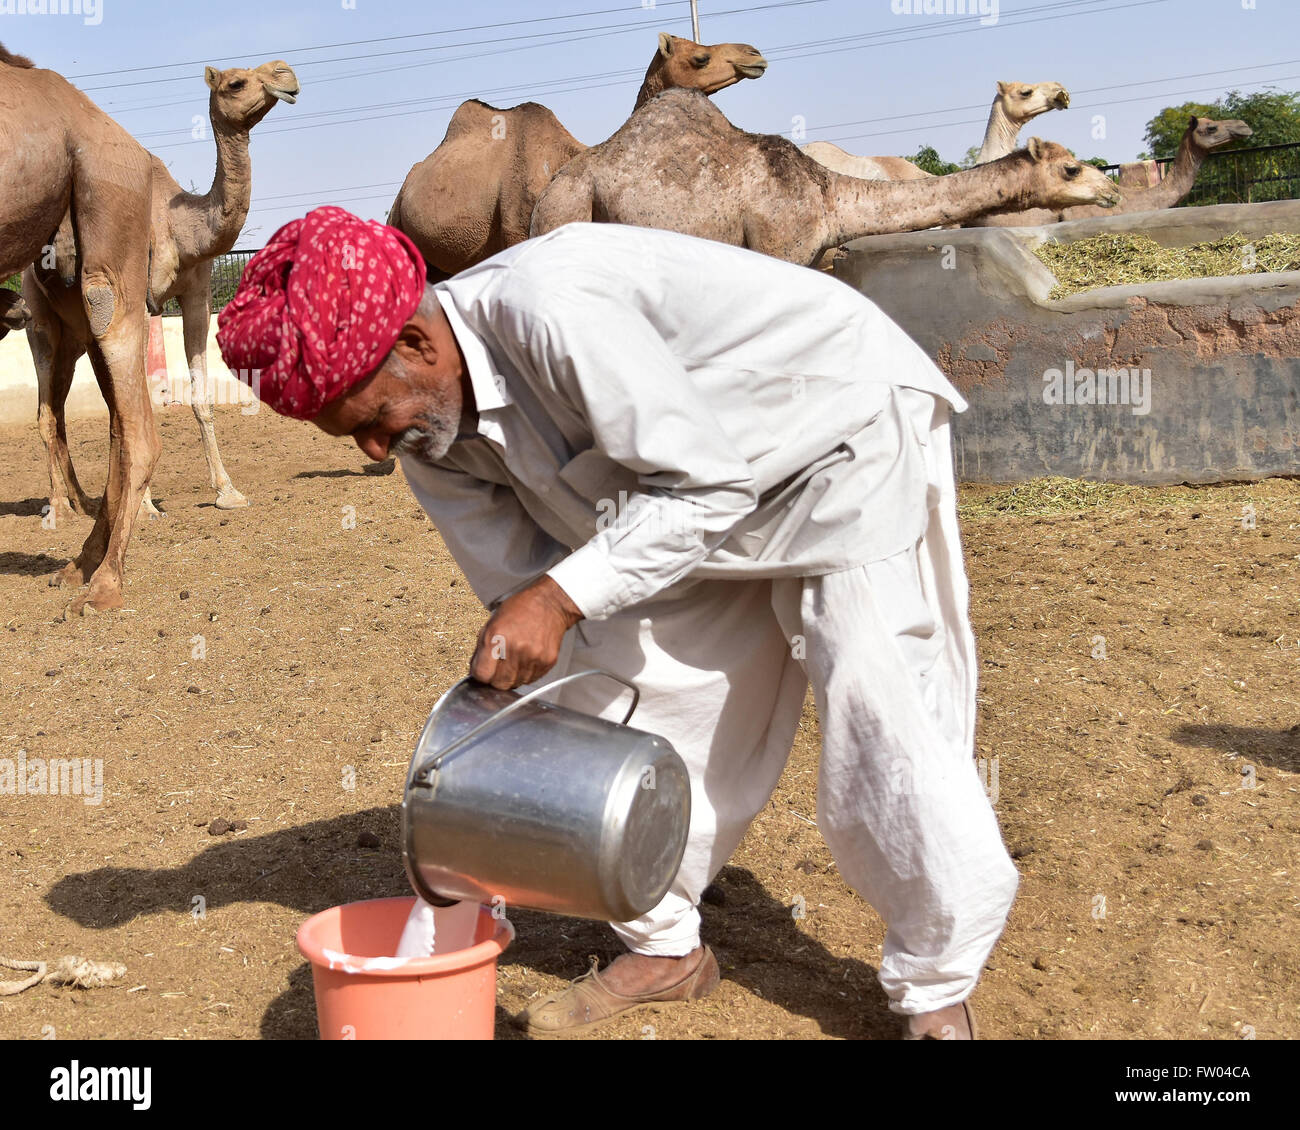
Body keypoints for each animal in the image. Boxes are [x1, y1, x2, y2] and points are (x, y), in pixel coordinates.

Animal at [26, 59, 301, 520]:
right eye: (236, 82)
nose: (287, 73)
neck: (182, 228)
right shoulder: (141, 300)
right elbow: (143, 401)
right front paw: (146, 505)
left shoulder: (196, 294)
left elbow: (201, 398)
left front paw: (228, 492)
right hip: (39, 319)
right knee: (48, 410)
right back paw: (59, 507)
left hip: (77, 335)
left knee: (61, 407)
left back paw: (86, 501)